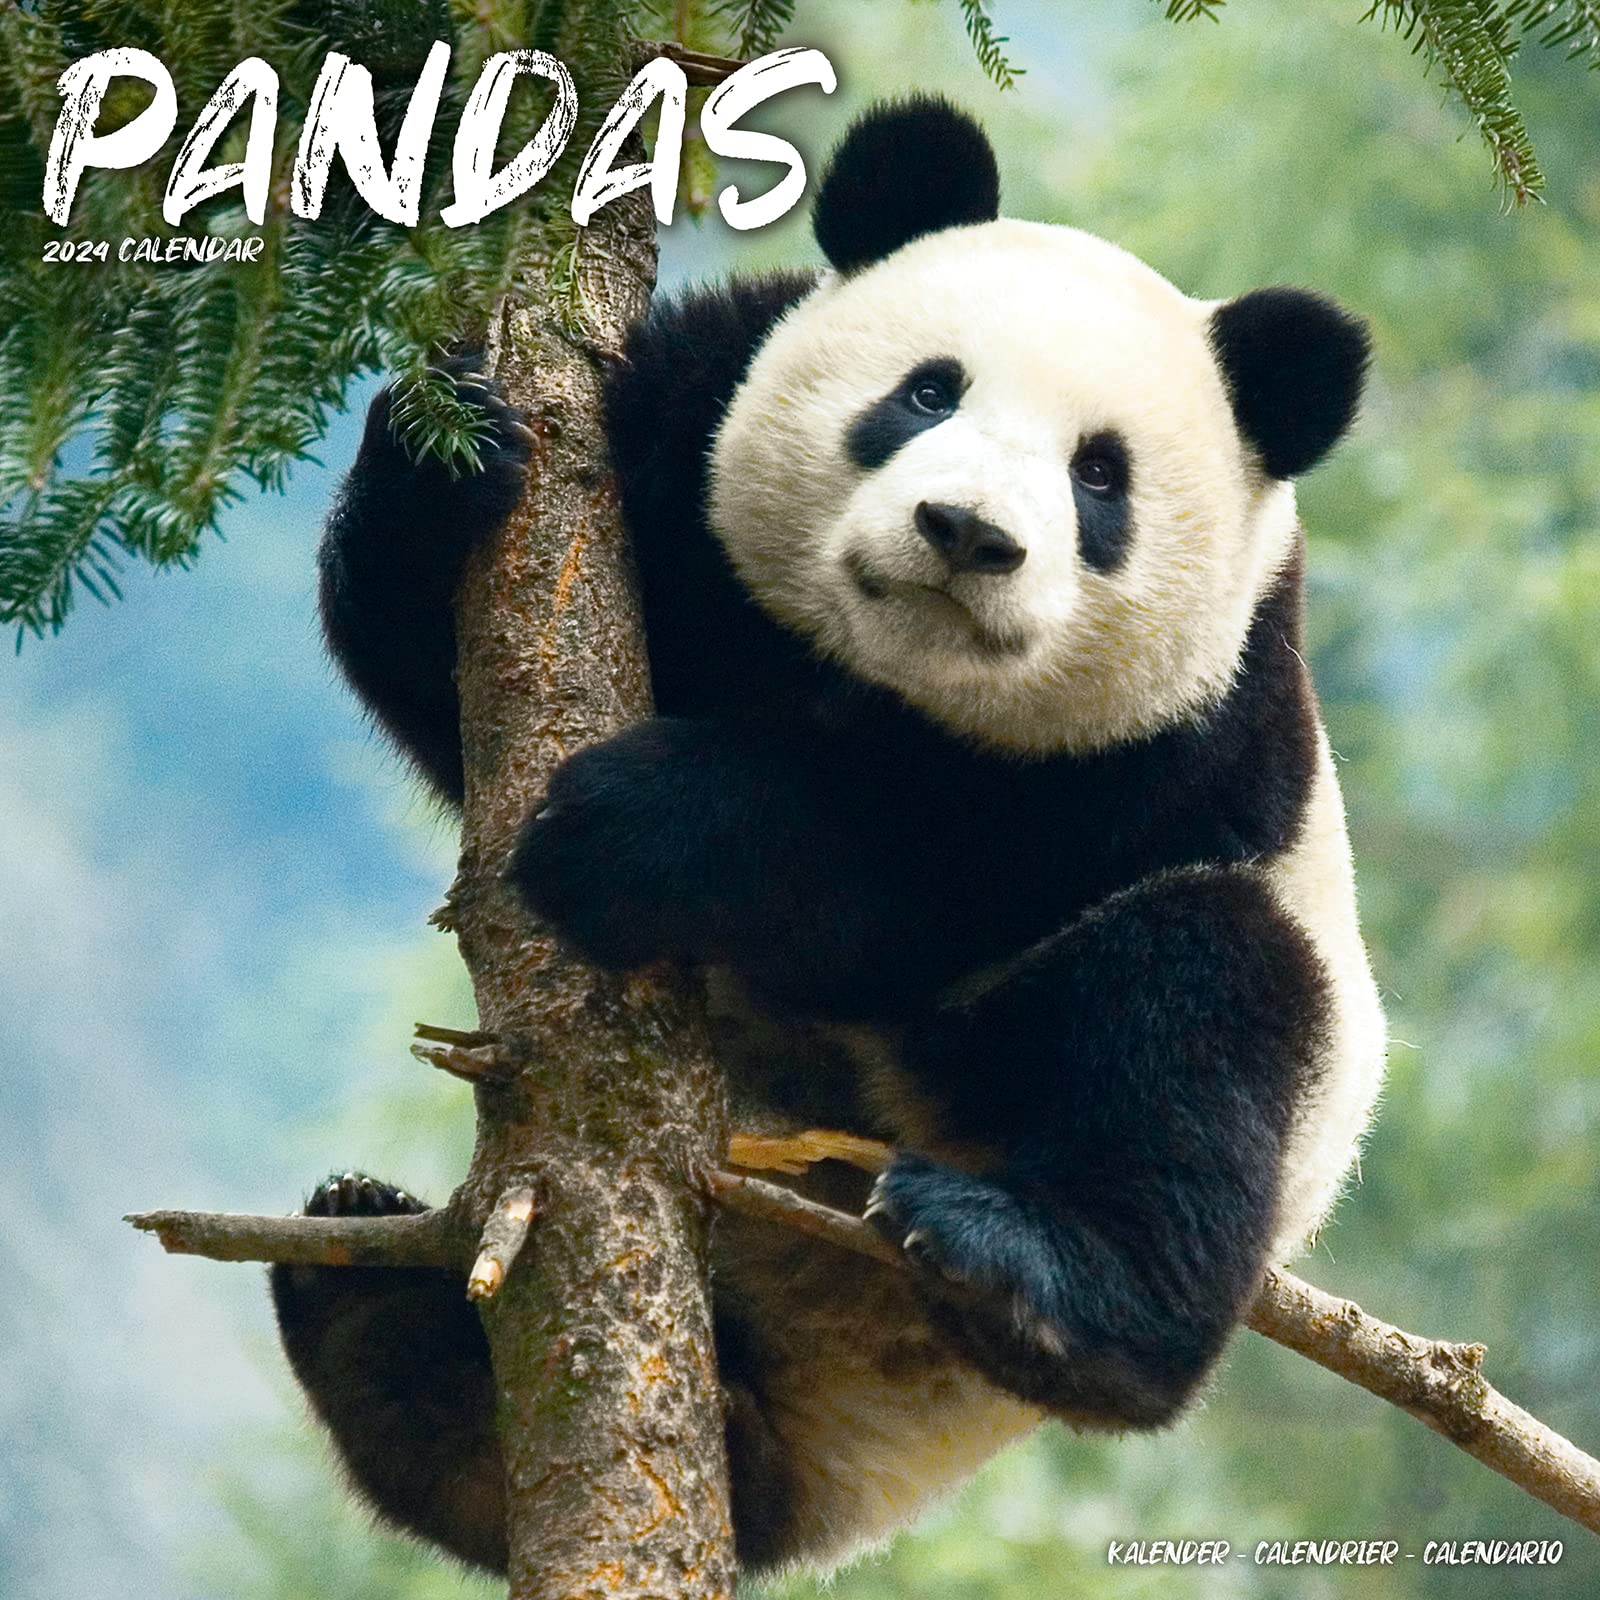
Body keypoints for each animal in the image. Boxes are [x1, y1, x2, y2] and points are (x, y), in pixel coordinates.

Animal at [272, 98, 1388, 1580]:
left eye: (1102, 478)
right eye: (925, 394)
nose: (966, 533)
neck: (867, 674)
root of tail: (841, 1431)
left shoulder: (1186, 739)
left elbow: (914, 891)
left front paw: (644, 826)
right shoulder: (684, 432)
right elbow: (439, 681)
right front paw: (442, 460)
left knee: (1202, 1004)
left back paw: (1033, 1281)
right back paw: (377, 1323)